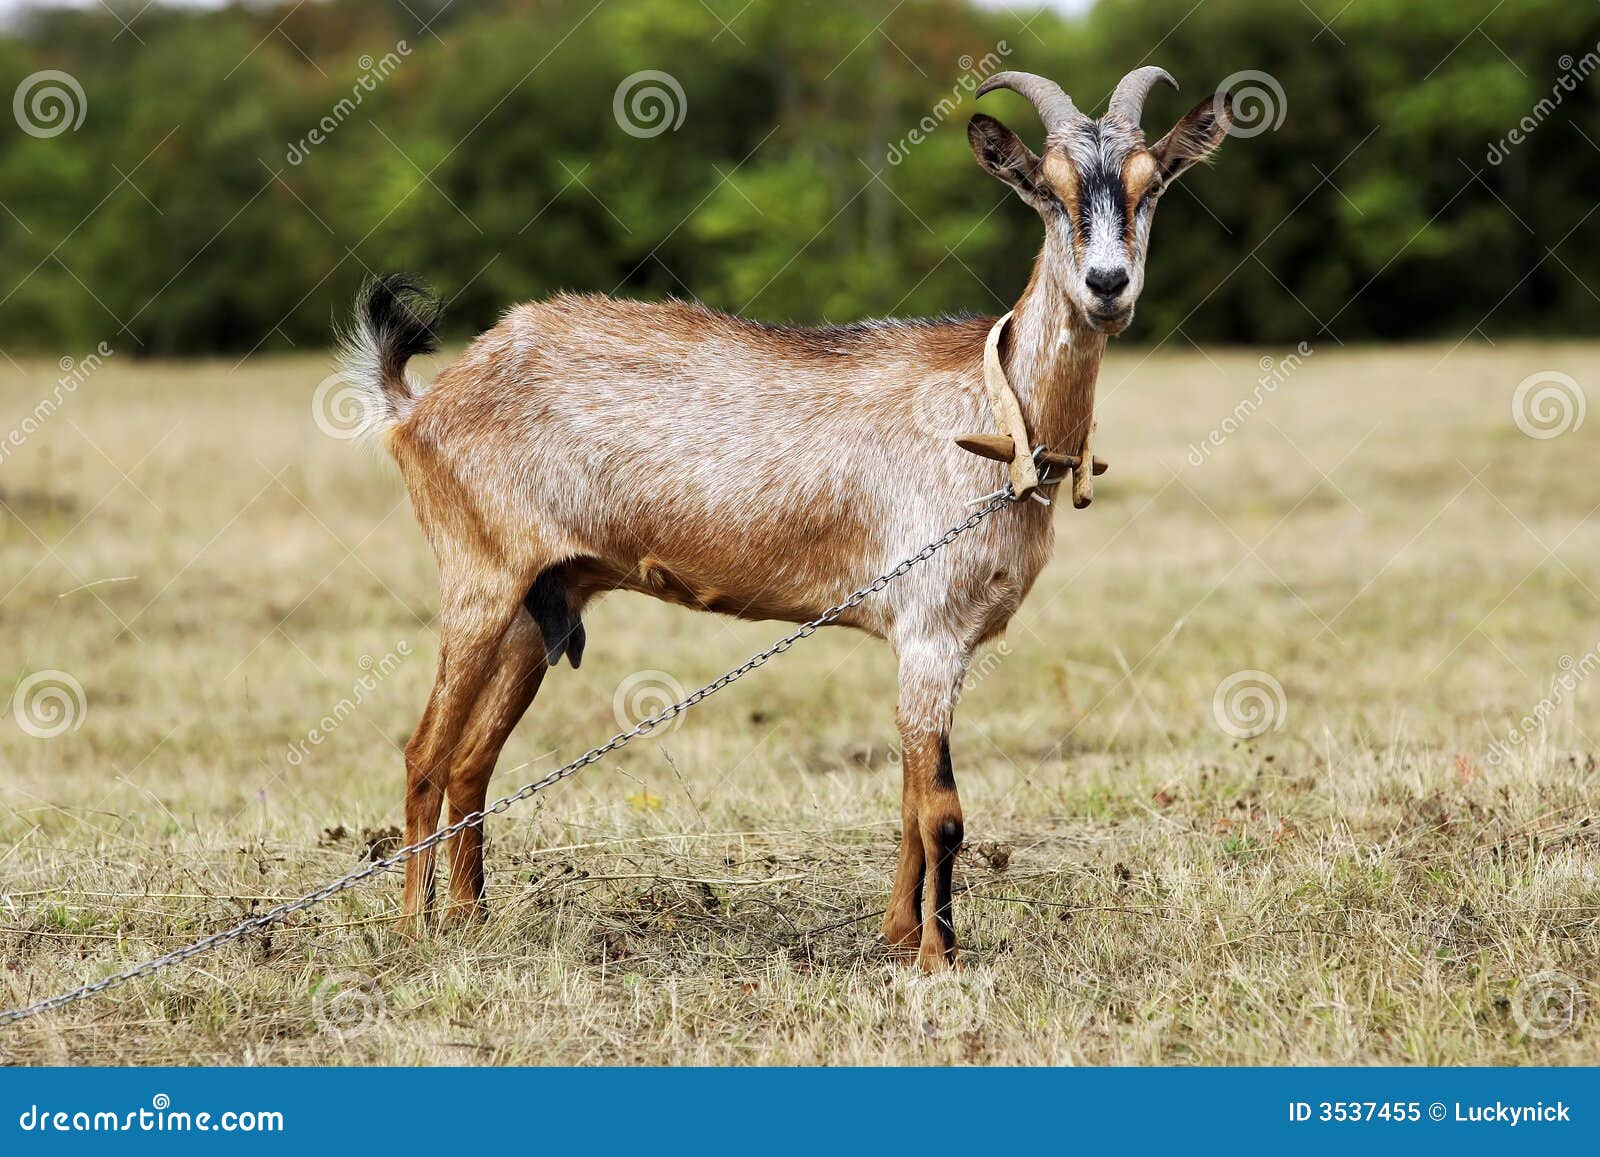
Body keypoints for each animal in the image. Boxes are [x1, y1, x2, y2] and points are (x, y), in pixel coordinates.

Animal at [336, 67, 1232, 971]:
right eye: (1046, 190)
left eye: (1152, 184)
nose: (1108, 285)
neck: (998, 410)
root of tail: (421, 404)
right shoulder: (930, 629)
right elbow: (942, 811)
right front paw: (938, 959)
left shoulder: (938, 642)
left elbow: (910, 797)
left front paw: (897, 934)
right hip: (479, 581)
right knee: (425, 754)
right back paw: (414, 931)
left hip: (539, 603)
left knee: (472, 763)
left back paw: (472, 919)